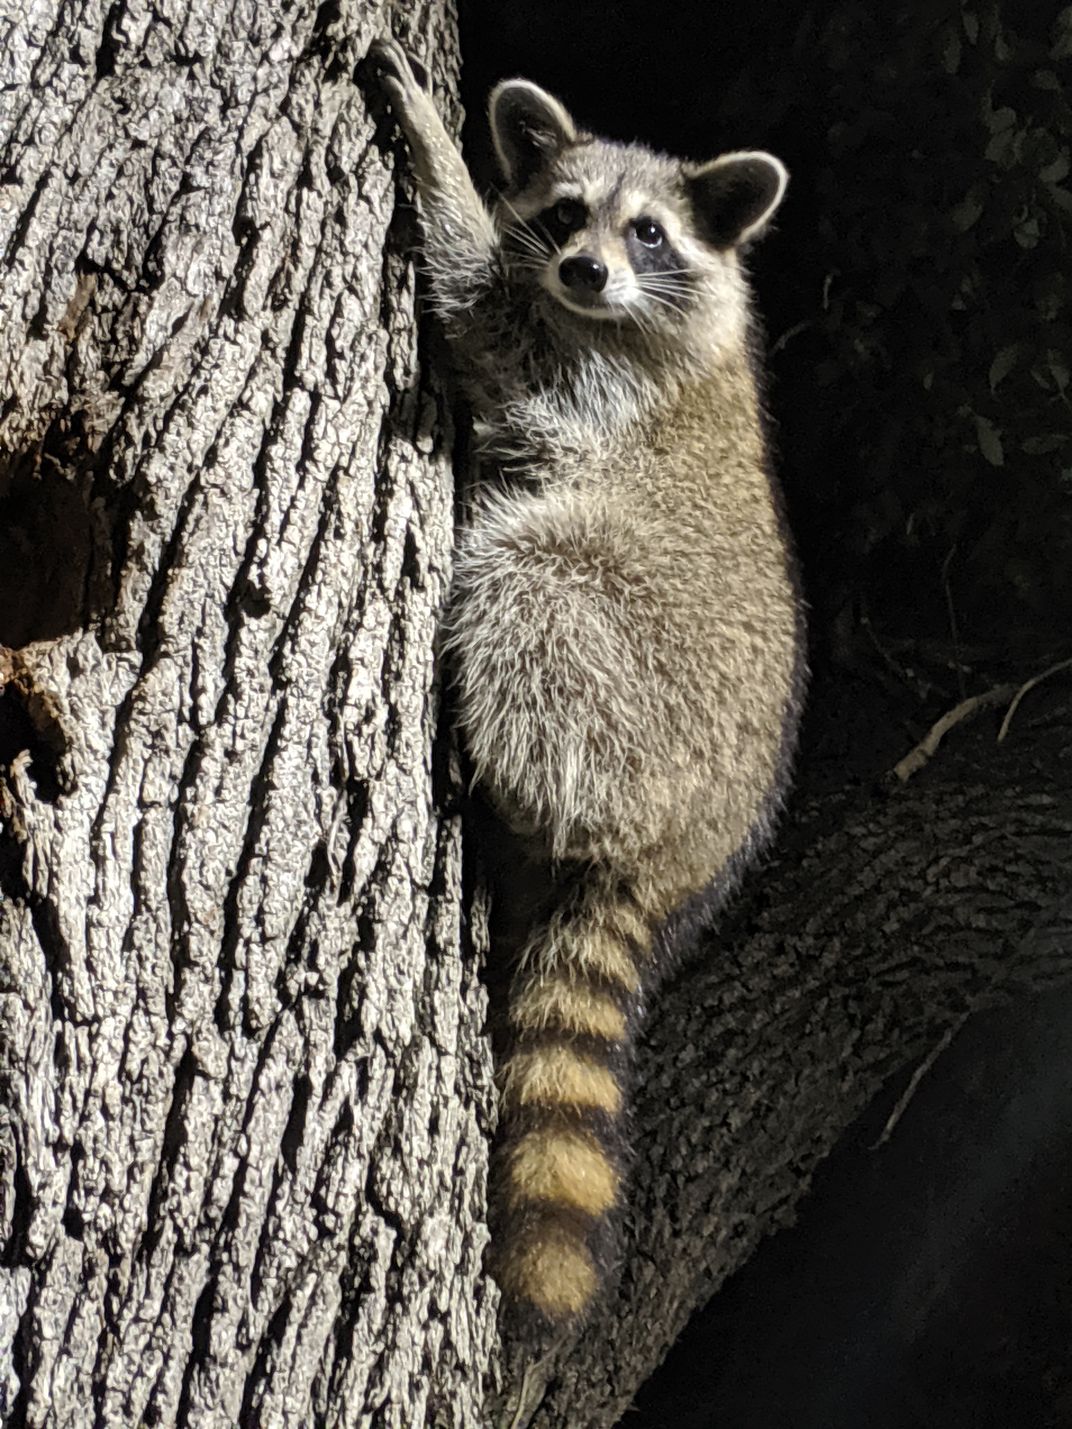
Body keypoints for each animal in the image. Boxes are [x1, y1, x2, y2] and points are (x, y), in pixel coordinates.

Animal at [372, 37, 805, 1330]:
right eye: (565, 212)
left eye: (647, 232)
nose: (581, 266)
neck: (599, 315)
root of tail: (681, 849)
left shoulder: (591, 382)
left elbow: (482, 311)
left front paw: (438, 160)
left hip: (629, 678)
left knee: (529, 578)